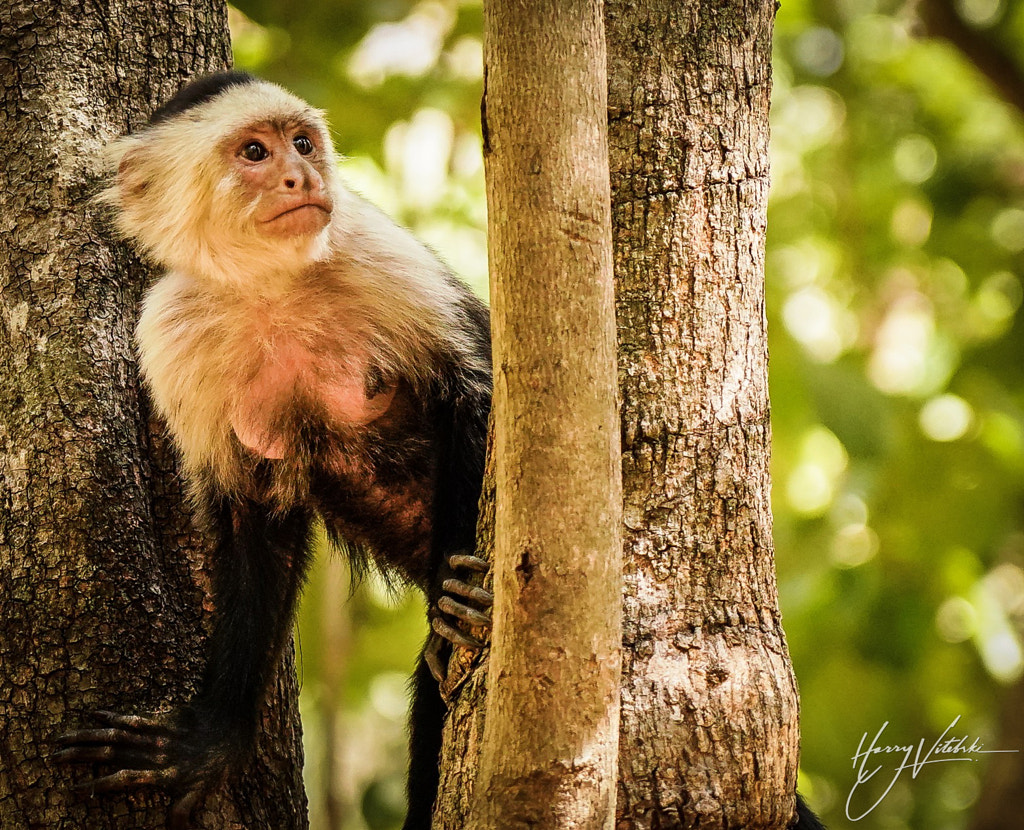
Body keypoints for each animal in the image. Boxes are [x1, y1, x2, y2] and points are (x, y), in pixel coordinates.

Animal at [55, 70, 492, 830]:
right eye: (254, 152)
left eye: (303, 143)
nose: (301, 176)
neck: (270, 287)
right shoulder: (168, 336)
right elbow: (250, 520)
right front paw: (212, 741)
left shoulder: (371, 246)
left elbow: (474, 390)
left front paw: (454, 597)